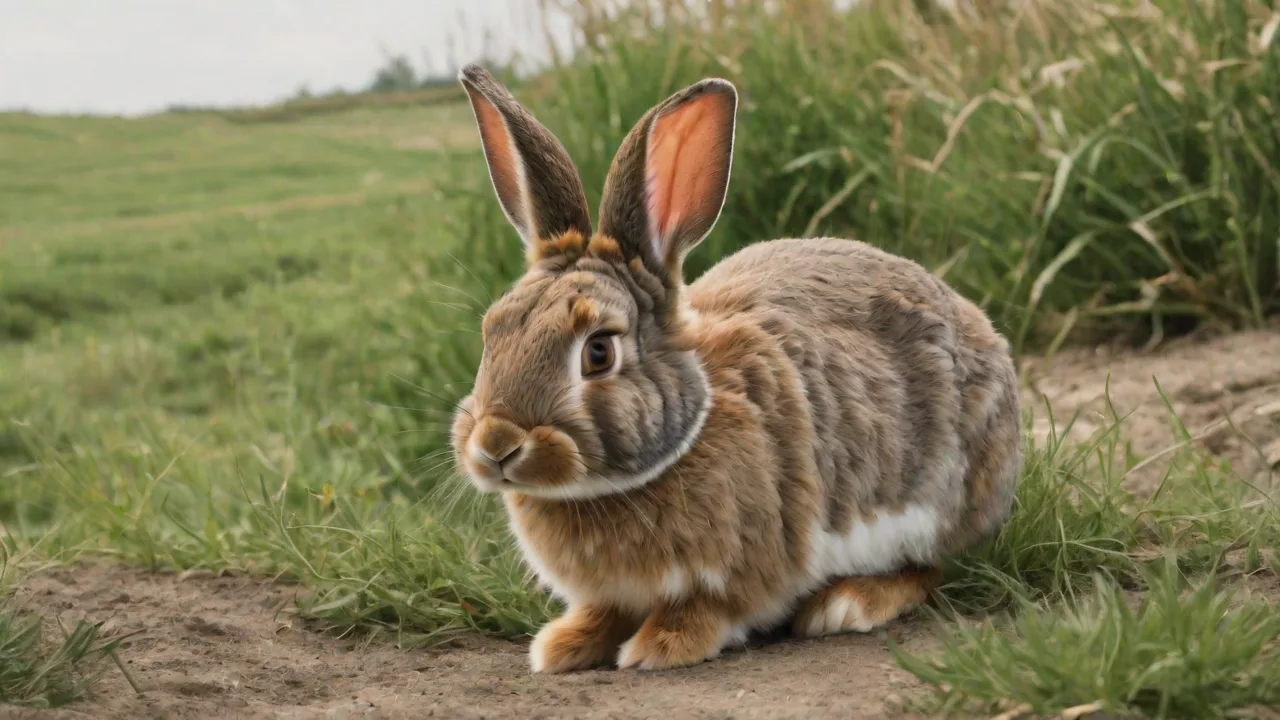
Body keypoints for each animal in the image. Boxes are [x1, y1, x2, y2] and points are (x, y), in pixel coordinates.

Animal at [450, 64, 1021, 673]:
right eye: (492, 331)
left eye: (598, 352)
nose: (496, 445)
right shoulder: (607, 593)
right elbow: (601, 612)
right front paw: (562, 646)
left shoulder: (745, 569)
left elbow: (711, 608)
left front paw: (660, 647)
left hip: (938, 503)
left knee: (931, 568)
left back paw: (846, 605)